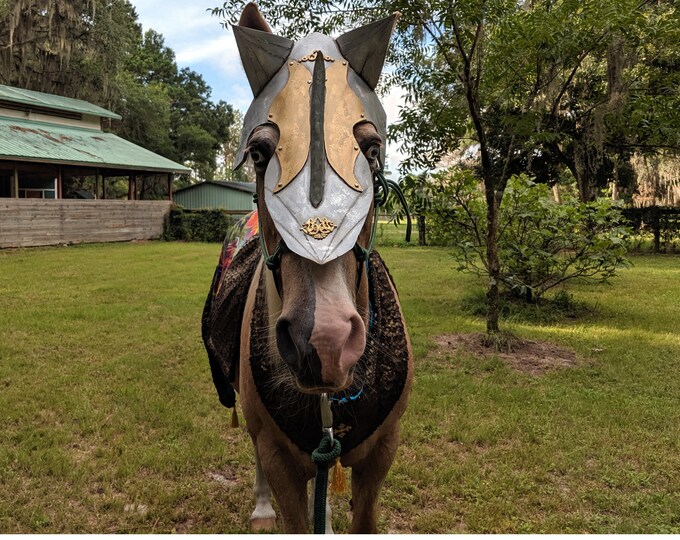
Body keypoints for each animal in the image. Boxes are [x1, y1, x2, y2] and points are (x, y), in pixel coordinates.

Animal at [202, 3, 413, 533]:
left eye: (371, 149)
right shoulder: (281, 460)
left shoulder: (381, 454)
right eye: (260, 153)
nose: (323, 341)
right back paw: (260, 509)